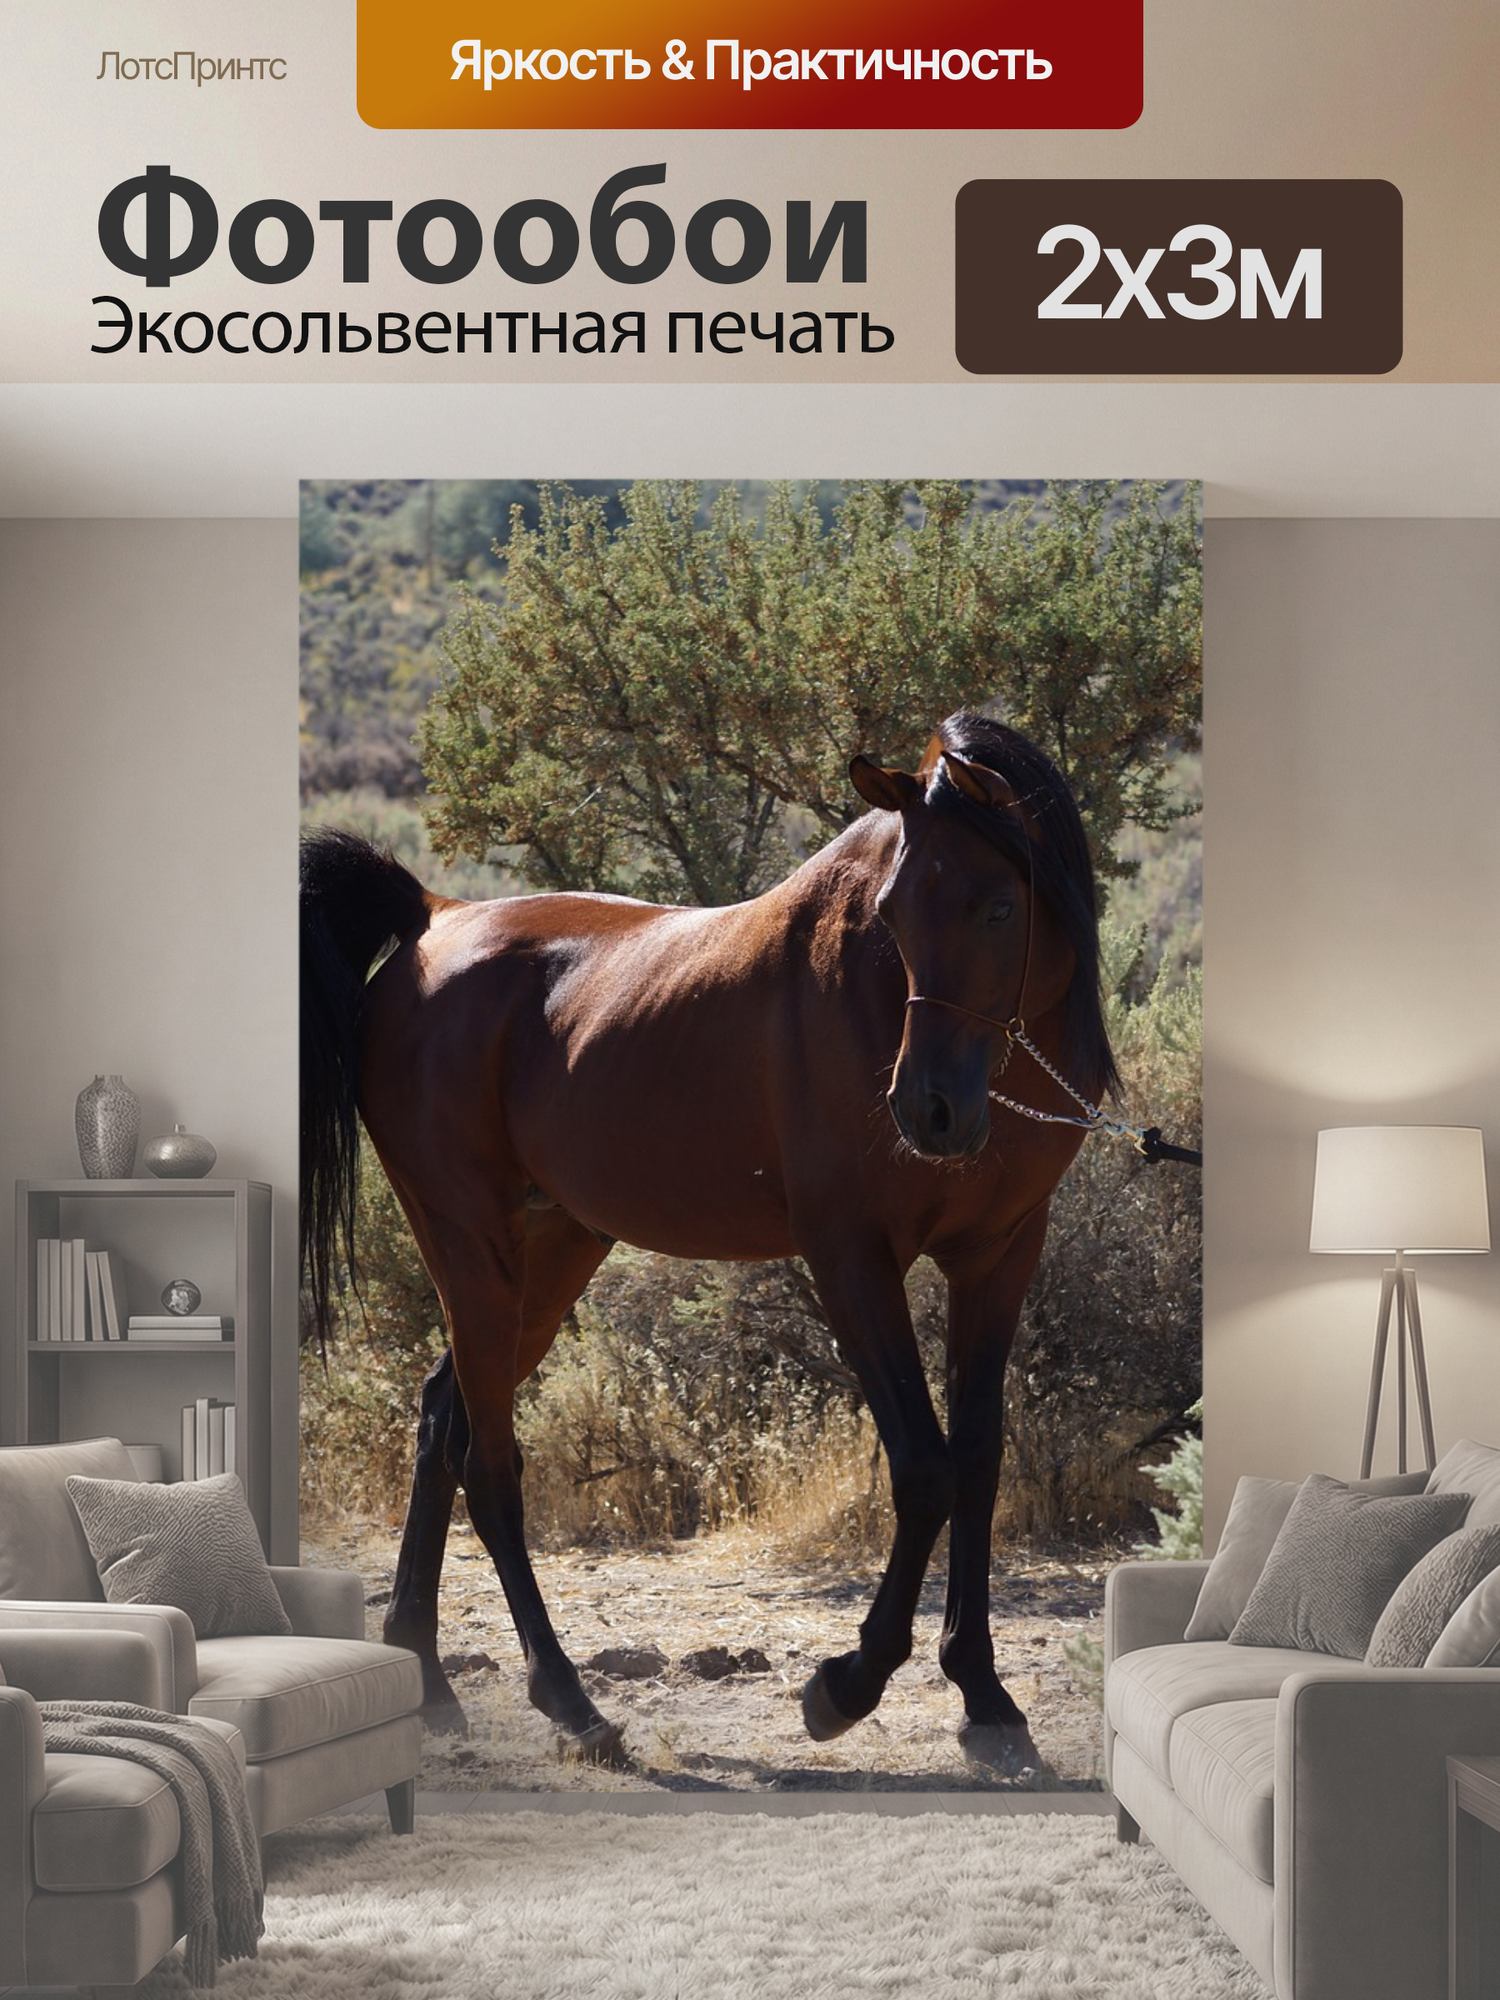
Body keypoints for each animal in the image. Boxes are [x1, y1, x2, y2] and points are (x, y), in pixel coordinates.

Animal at [300, 710, 1116, 1775]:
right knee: (490, 1464)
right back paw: (570, 1701)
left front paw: (984, 1695)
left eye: (998, 908)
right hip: (468, 1240)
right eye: (892, 916)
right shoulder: (851, 1260)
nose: (927, 1111)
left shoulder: (1000, 1254)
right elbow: (924, 1466)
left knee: (443, 1421)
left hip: (553, 1248)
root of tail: (434, 916)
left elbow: (977, 1459)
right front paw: (845, 1685)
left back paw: (431, 1684)